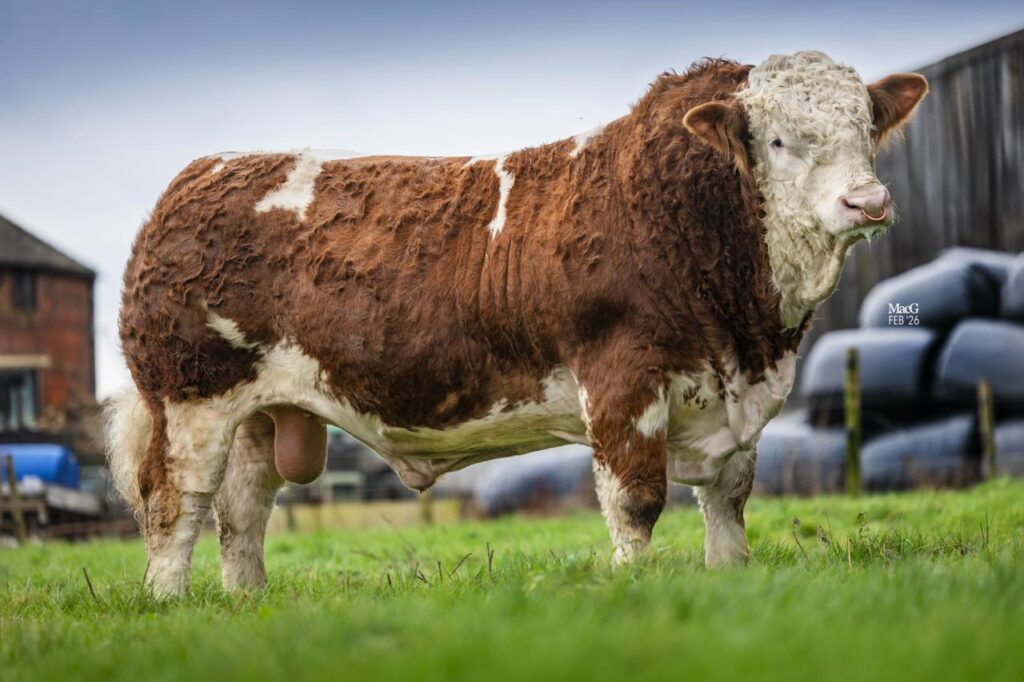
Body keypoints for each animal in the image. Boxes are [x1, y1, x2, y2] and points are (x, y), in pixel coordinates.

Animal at [108, 51, 927, 598]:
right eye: (779, 140)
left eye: (867, 127)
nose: (868, 201)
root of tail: (202, 173)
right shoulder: (623, 379)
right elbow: (636, 500)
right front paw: (633, 587)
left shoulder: (733, 401)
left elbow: (727, 499)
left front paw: (730, 578)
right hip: (191, 398)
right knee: (175, 503)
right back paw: (171, 604)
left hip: (261, 410)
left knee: (242, 511)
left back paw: (246, 604)